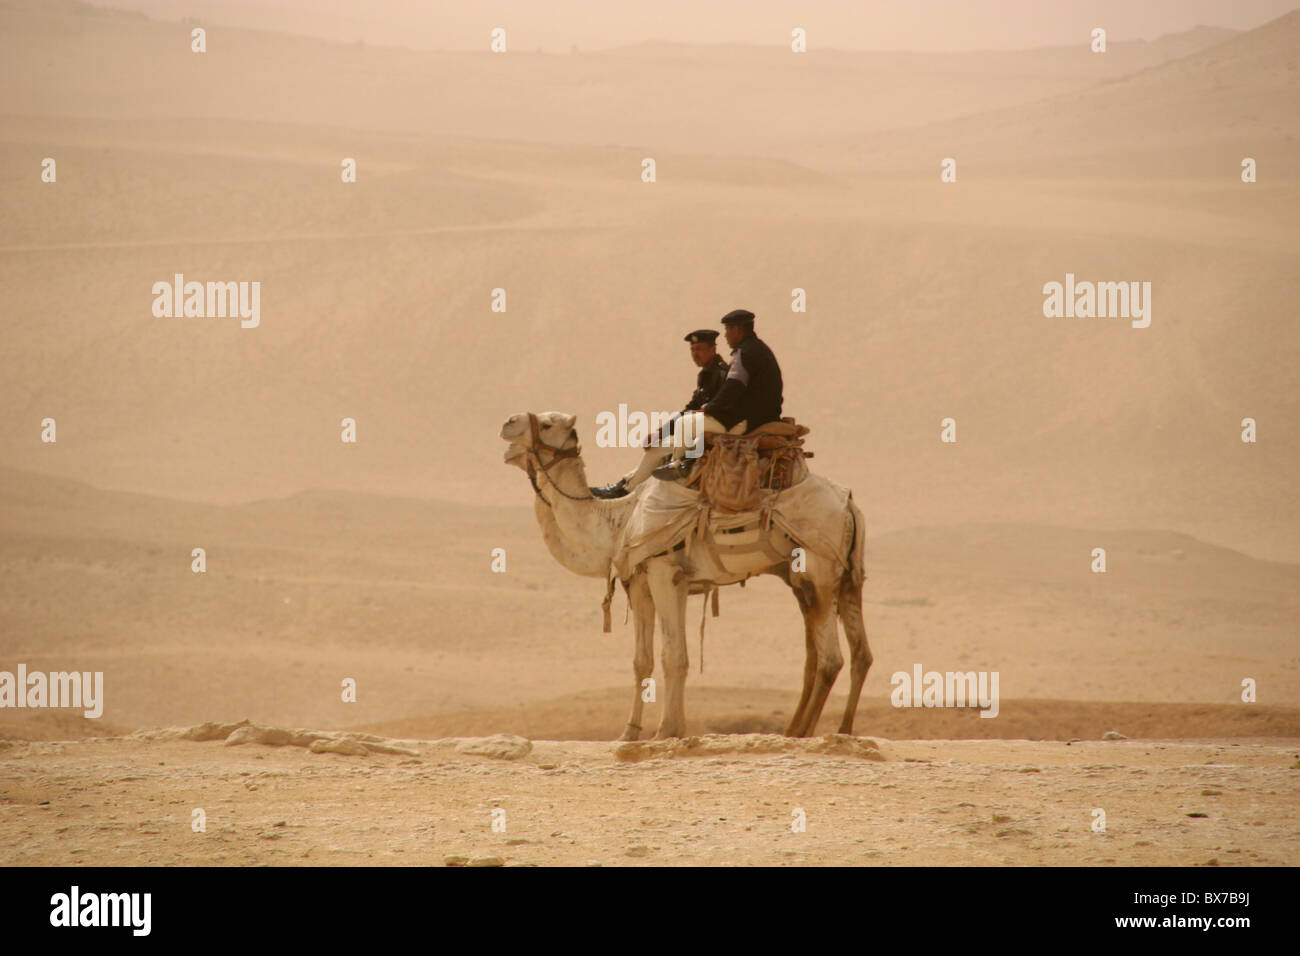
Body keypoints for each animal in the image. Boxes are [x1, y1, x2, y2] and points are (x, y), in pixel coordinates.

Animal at [501, 410, 870, 741]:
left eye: (548, 424)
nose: (507, 424)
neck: (619, 521)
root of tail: (849, 504)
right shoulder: (646, 583)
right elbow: (646, 660)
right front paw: (631, 733)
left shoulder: (664, 574)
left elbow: (672, 656)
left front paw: (665, 731)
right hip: (834, 578)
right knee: (852, 655)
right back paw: (833, 729)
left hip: (819, 571)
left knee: (829, 659)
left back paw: (805, 732)